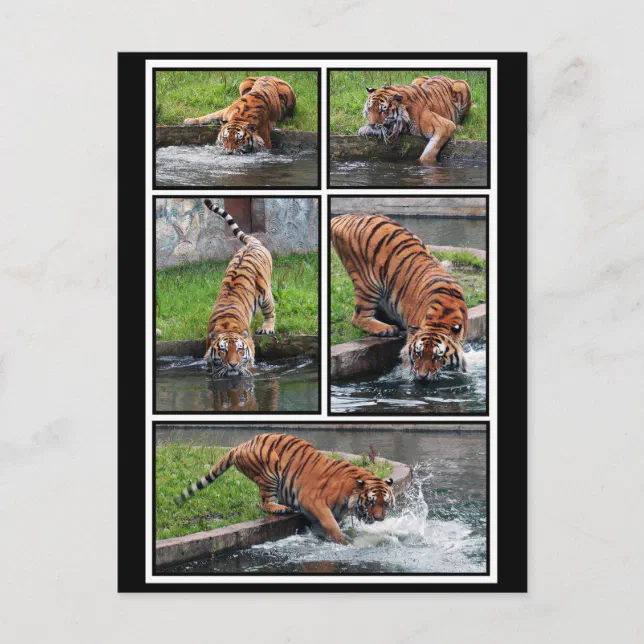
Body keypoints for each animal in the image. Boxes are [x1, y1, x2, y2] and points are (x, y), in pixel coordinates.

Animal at [175, 433, 395, 544]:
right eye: (371, 502)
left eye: (386, 504)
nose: (379, 519)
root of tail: (242, 444)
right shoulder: (313, 500)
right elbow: (331, 524)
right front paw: (343, 542)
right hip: (270, 470)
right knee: (264, 502)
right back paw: (281, 508)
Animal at [203, 200, 275, 377]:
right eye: (222, 351)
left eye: (240, 350)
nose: (233, 365)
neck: (226, 325)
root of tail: (253, 243)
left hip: (265, 294)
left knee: (270, 312)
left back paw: (267, 328)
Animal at [331, 213, 469, 380]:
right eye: (418, 353)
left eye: (437, 357)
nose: (422, 376)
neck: (441, 318)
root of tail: (342, 217)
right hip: (368, 282)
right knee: (358, 318)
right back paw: (387, 329)